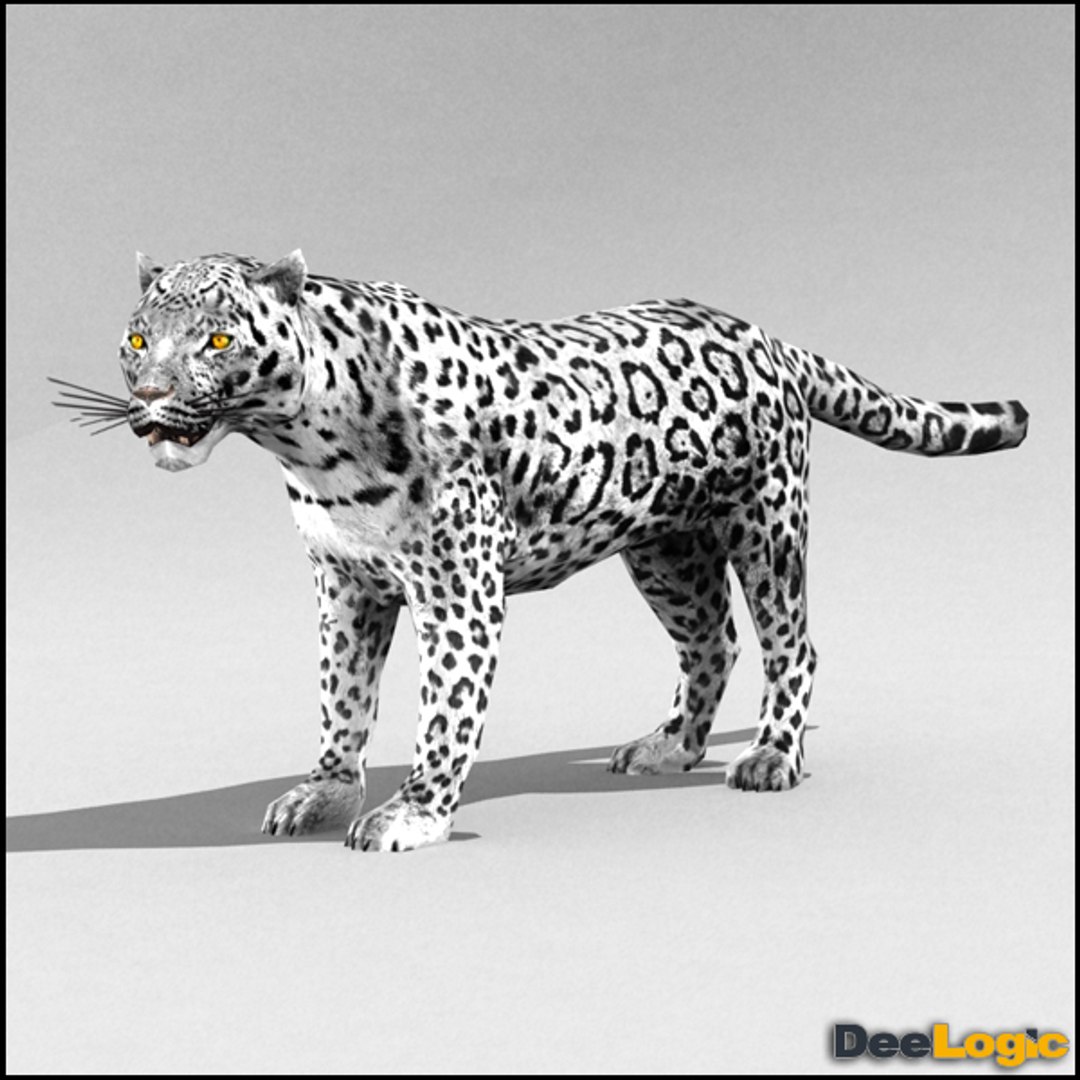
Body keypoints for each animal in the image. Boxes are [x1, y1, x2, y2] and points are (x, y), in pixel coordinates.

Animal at [88, 250, 1030, 851]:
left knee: (790, 641)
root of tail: (764, 334)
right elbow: (341, 696)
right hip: (668, 551)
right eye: (137, 340)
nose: (150, 396)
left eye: (216, 340)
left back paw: (771, 757)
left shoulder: (457, 591)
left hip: (767, 524)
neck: (304, 440)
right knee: (713, 642)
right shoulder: (345, 583)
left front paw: (412, 814)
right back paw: (668, 747)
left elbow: (445, 710)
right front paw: (322, 789)